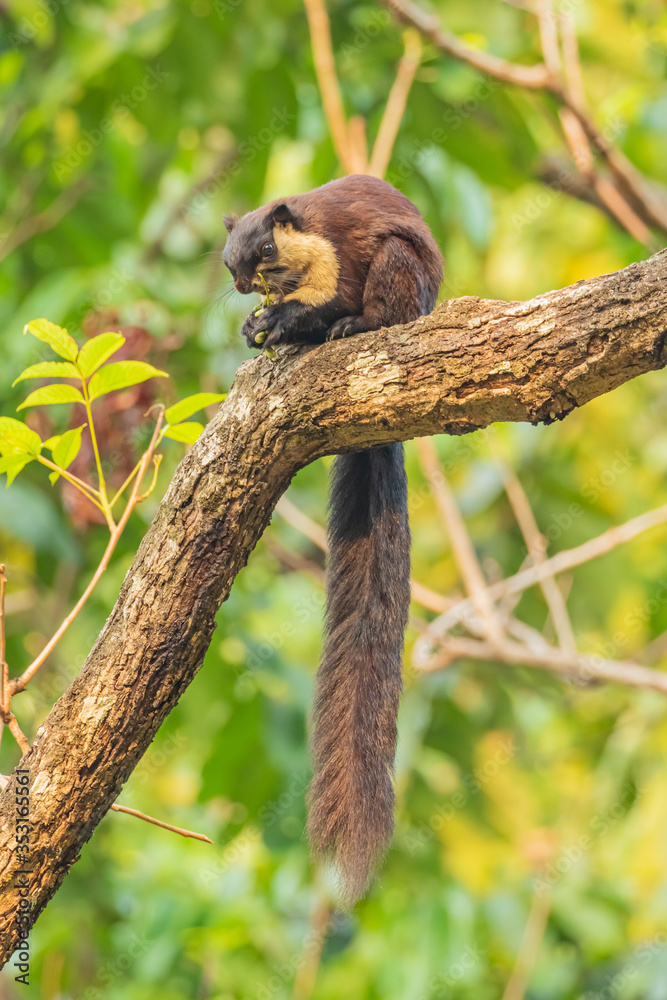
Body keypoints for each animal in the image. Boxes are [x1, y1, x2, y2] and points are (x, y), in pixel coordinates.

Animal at [223, 174, 443, 903]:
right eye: (228, 261)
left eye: (264, 249)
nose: (246, 286)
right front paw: (255, 326)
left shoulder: (343, 254)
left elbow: (329, 299)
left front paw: (286, 323)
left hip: (402, 270)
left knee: (378, 315)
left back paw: (352, 328)